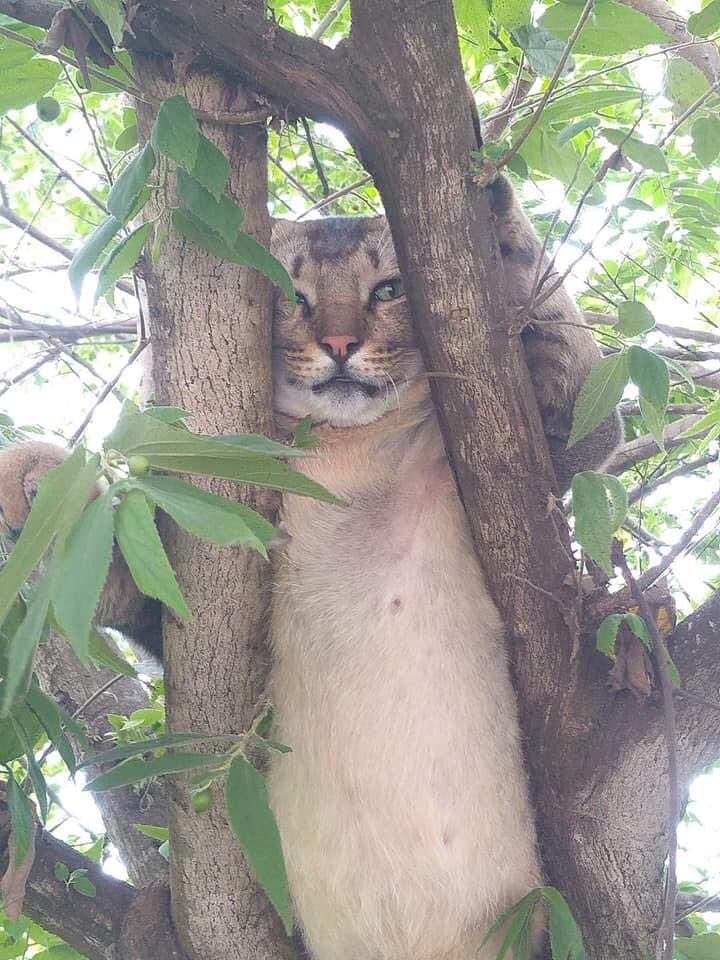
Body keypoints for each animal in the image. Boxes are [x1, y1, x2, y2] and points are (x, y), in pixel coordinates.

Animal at [0, 176, 620, 960]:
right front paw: (37, 481)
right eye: (292, 296)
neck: (343, 454)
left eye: (389, 288)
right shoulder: (167, 590)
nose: (340, 343)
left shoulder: (560, 452)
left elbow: (575, 375)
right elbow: (118, 584)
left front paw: (501, 228)